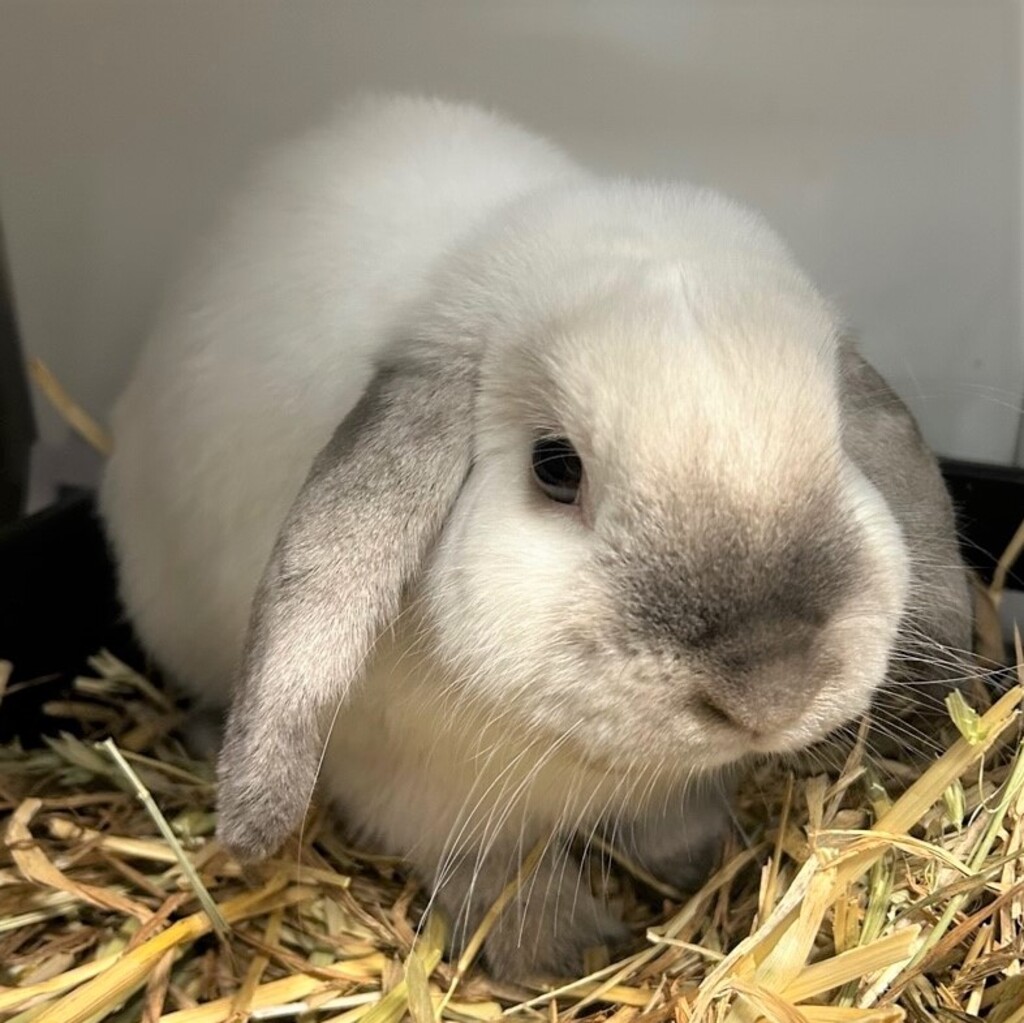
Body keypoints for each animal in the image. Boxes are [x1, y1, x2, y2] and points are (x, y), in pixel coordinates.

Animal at [100, 94, 973, 980]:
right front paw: (566, 949)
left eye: (836, 442)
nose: (770, 692)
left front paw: (691, 860)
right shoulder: (413, 790)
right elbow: (497, 872)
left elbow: (676, 817)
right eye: (555, 466)